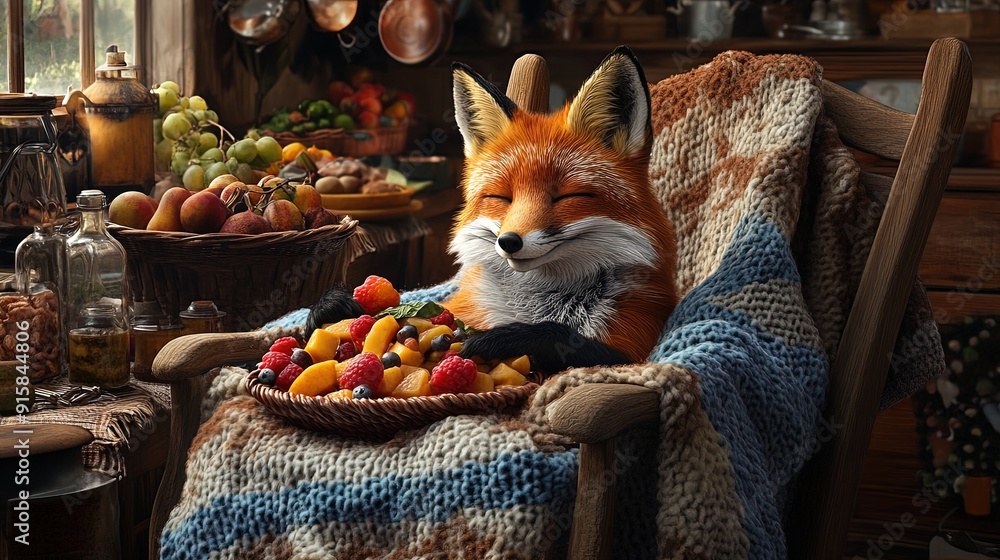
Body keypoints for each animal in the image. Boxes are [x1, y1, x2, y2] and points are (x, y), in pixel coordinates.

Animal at [308, 46, 677, 373]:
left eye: (565, 197)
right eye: (502, 197)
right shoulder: (456, 309)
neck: (535, 302)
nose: (509, 242)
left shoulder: (634, 340)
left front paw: (505, 338)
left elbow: (556, 335)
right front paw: (336, 308)